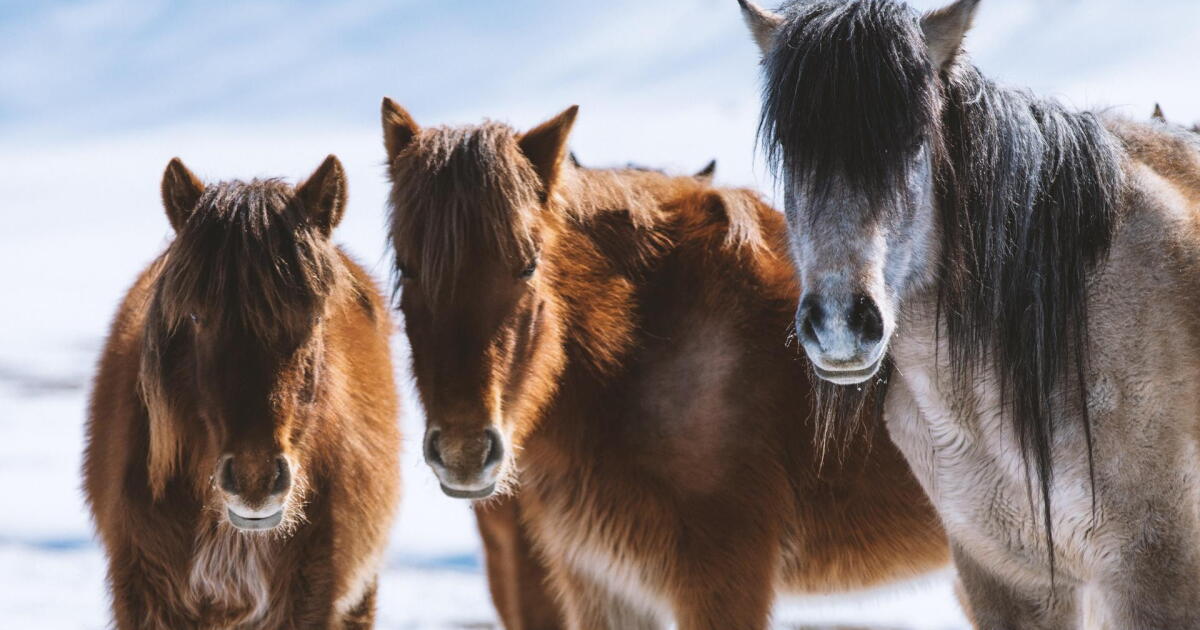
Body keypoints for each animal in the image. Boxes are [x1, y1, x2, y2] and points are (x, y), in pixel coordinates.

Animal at [380, 97, 949, 629]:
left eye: (529, 264)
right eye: (406, 267)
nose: (464, 452)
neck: (644, 348)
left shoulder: (723, 580)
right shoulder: (602, 584)